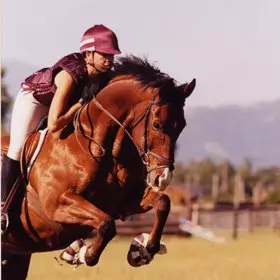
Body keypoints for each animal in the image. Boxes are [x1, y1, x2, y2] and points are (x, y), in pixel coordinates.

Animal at [1, 55, 196, 278]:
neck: (98, 146)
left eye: (182, 126)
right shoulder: (58, 203)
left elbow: (163, 202)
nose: (163, 178)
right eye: (156, 124)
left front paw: (144, 250)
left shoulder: (123, 203)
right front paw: (82, 254)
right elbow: (106, 224)